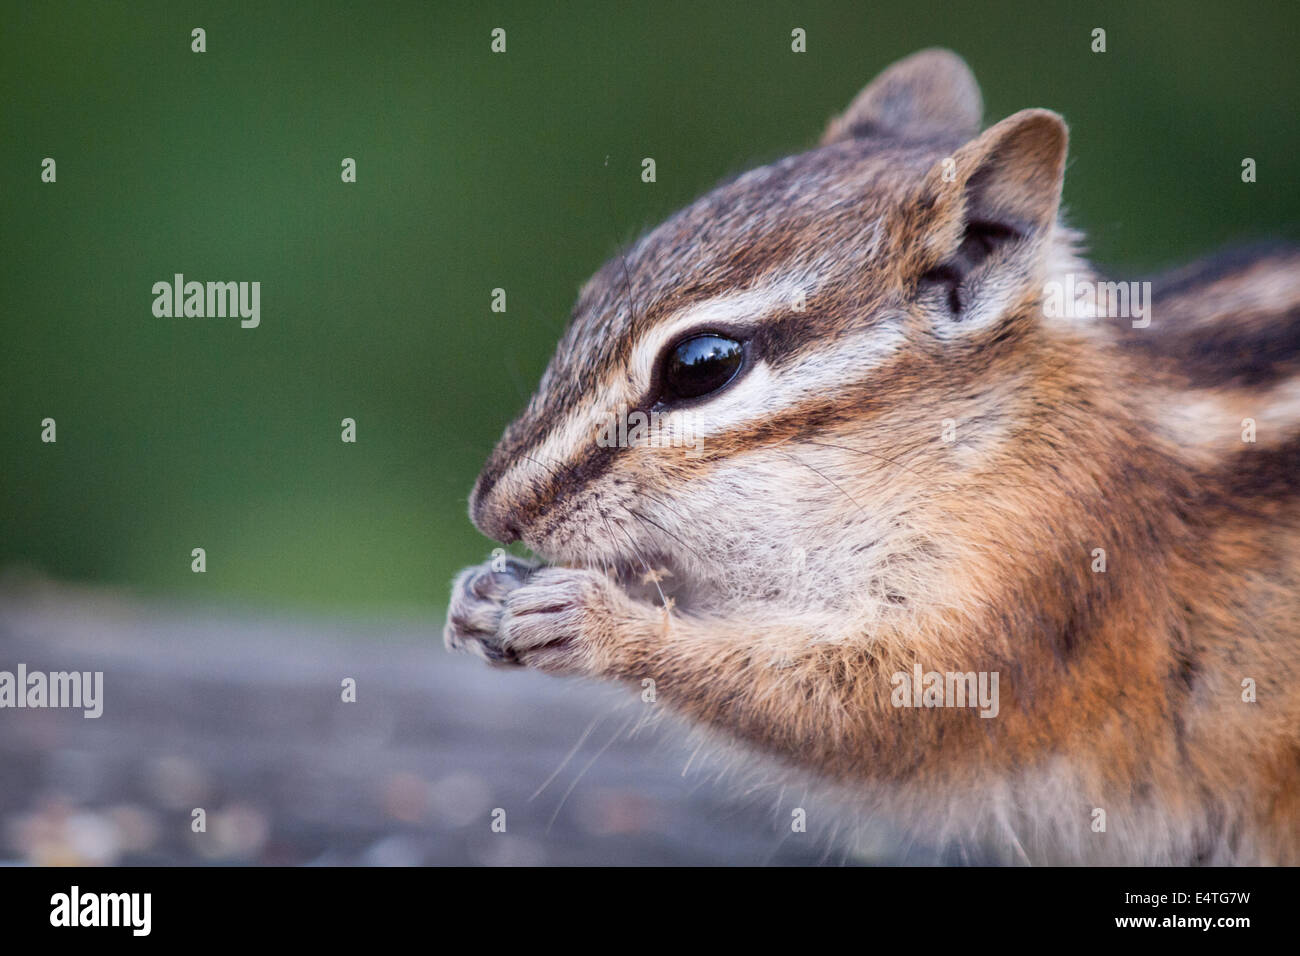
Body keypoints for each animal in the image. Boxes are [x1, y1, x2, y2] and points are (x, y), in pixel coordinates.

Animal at [445, 49, 1300, 865]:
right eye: (593, 292)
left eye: (701, 365)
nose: (492, 510)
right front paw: (477, 596)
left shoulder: (1038, 565)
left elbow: (872, 710)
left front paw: (593, 620)